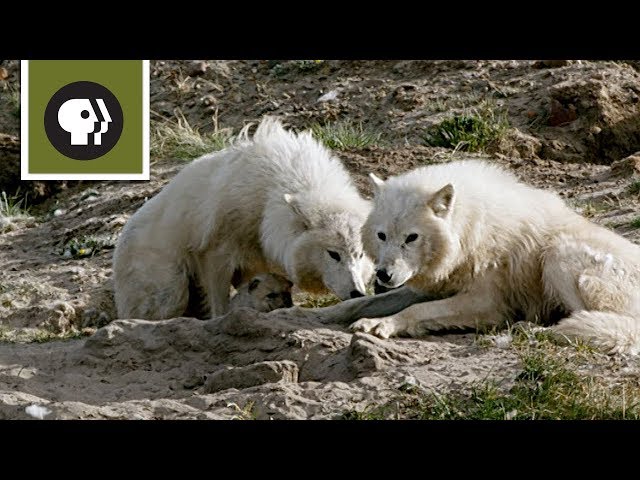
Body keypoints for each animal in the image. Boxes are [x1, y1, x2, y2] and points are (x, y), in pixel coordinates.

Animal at [113, 117, 374, 320]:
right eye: (333, 254)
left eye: (359, 255)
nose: (358, 293)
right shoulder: (216, 256)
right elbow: (220, 306)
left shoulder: (251, 264)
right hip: (172, 291)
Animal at [342, 159, 640, 355]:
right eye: (382, 236)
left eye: (411, 238)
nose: (383, 275)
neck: (469, 229)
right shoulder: (429, 287)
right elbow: (360, 303)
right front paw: (338, 313)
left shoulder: (487, 302)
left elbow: (417, 310)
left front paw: (381, 324)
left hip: (557, 255)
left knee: (608, 325)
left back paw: (535, 331)